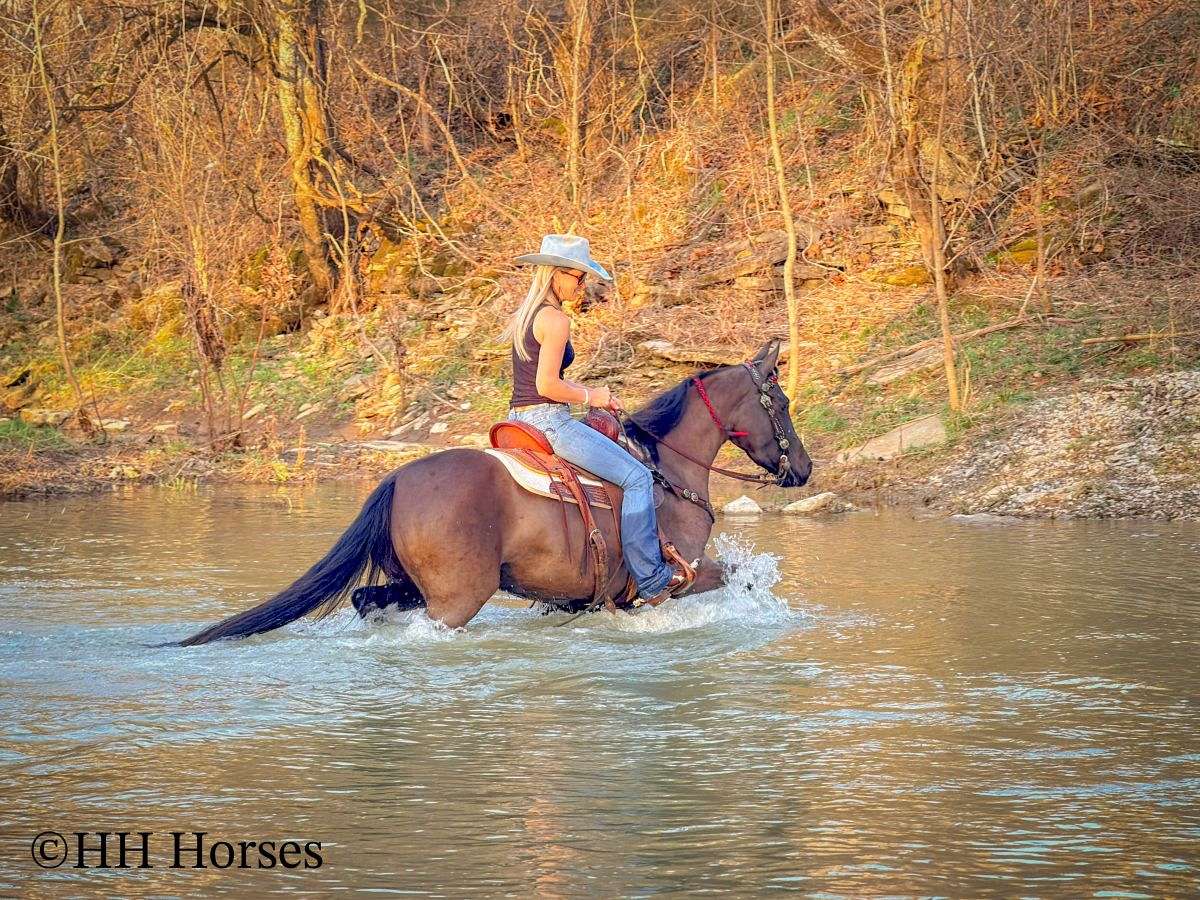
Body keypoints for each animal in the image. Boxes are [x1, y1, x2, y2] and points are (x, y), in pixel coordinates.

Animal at [175, 339, 811, 645]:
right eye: (780, 402)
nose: (803, 469)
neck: (662, 471)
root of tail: (398, 478)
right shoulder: (681, 574)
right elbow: (738, 577)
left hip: (412, 586)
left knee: (368, 600)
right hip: (457, 598)